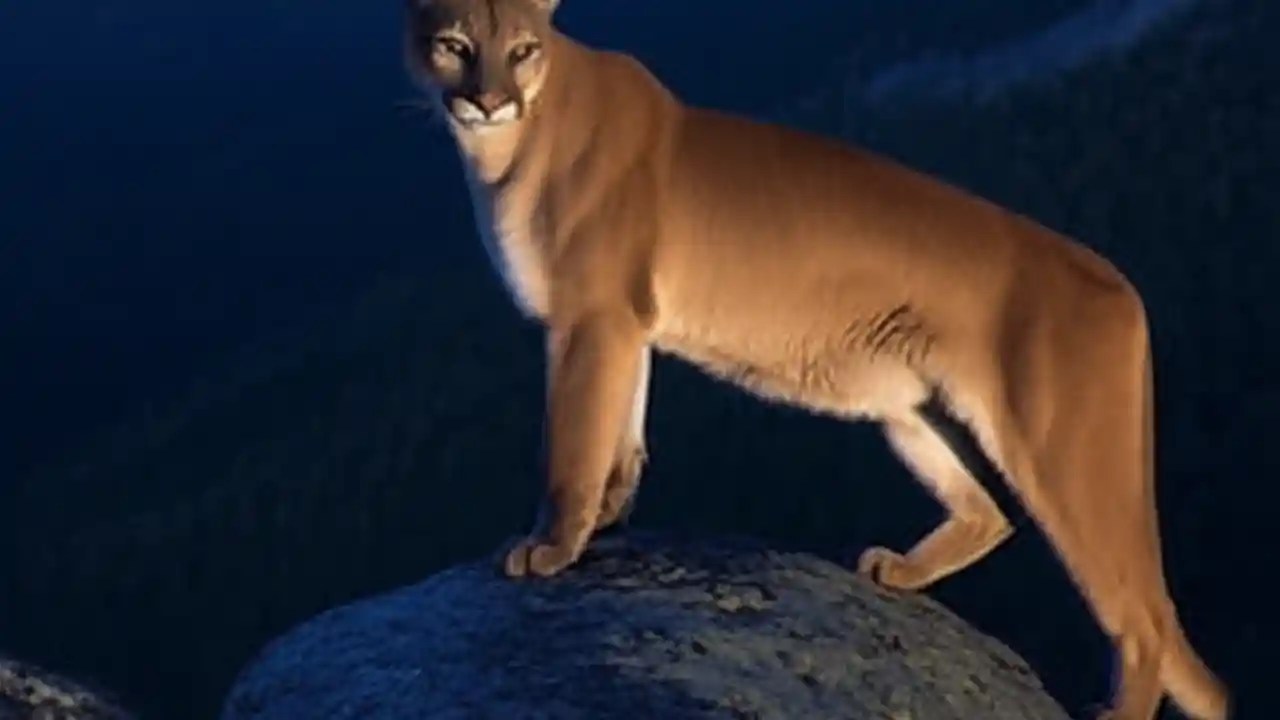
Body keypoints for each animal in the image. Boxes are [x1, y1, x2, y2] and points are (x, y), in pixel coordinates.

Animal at [401, 1, 1230, 718]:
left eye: (520, 49)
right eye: (454, 43)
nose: (486, 102)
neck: (508, 147)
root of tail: (1122, 286)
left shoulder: (590, 320)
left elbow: (572, 440)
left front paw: (550, 546)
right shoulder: (621, 329)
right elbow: (621, 429)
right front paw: (605, 519)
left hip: (1063, 453)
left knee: (1142, 617)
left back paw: (1115, 709)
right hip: (906, 412)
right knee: (991, 515)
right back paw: (901, 572)